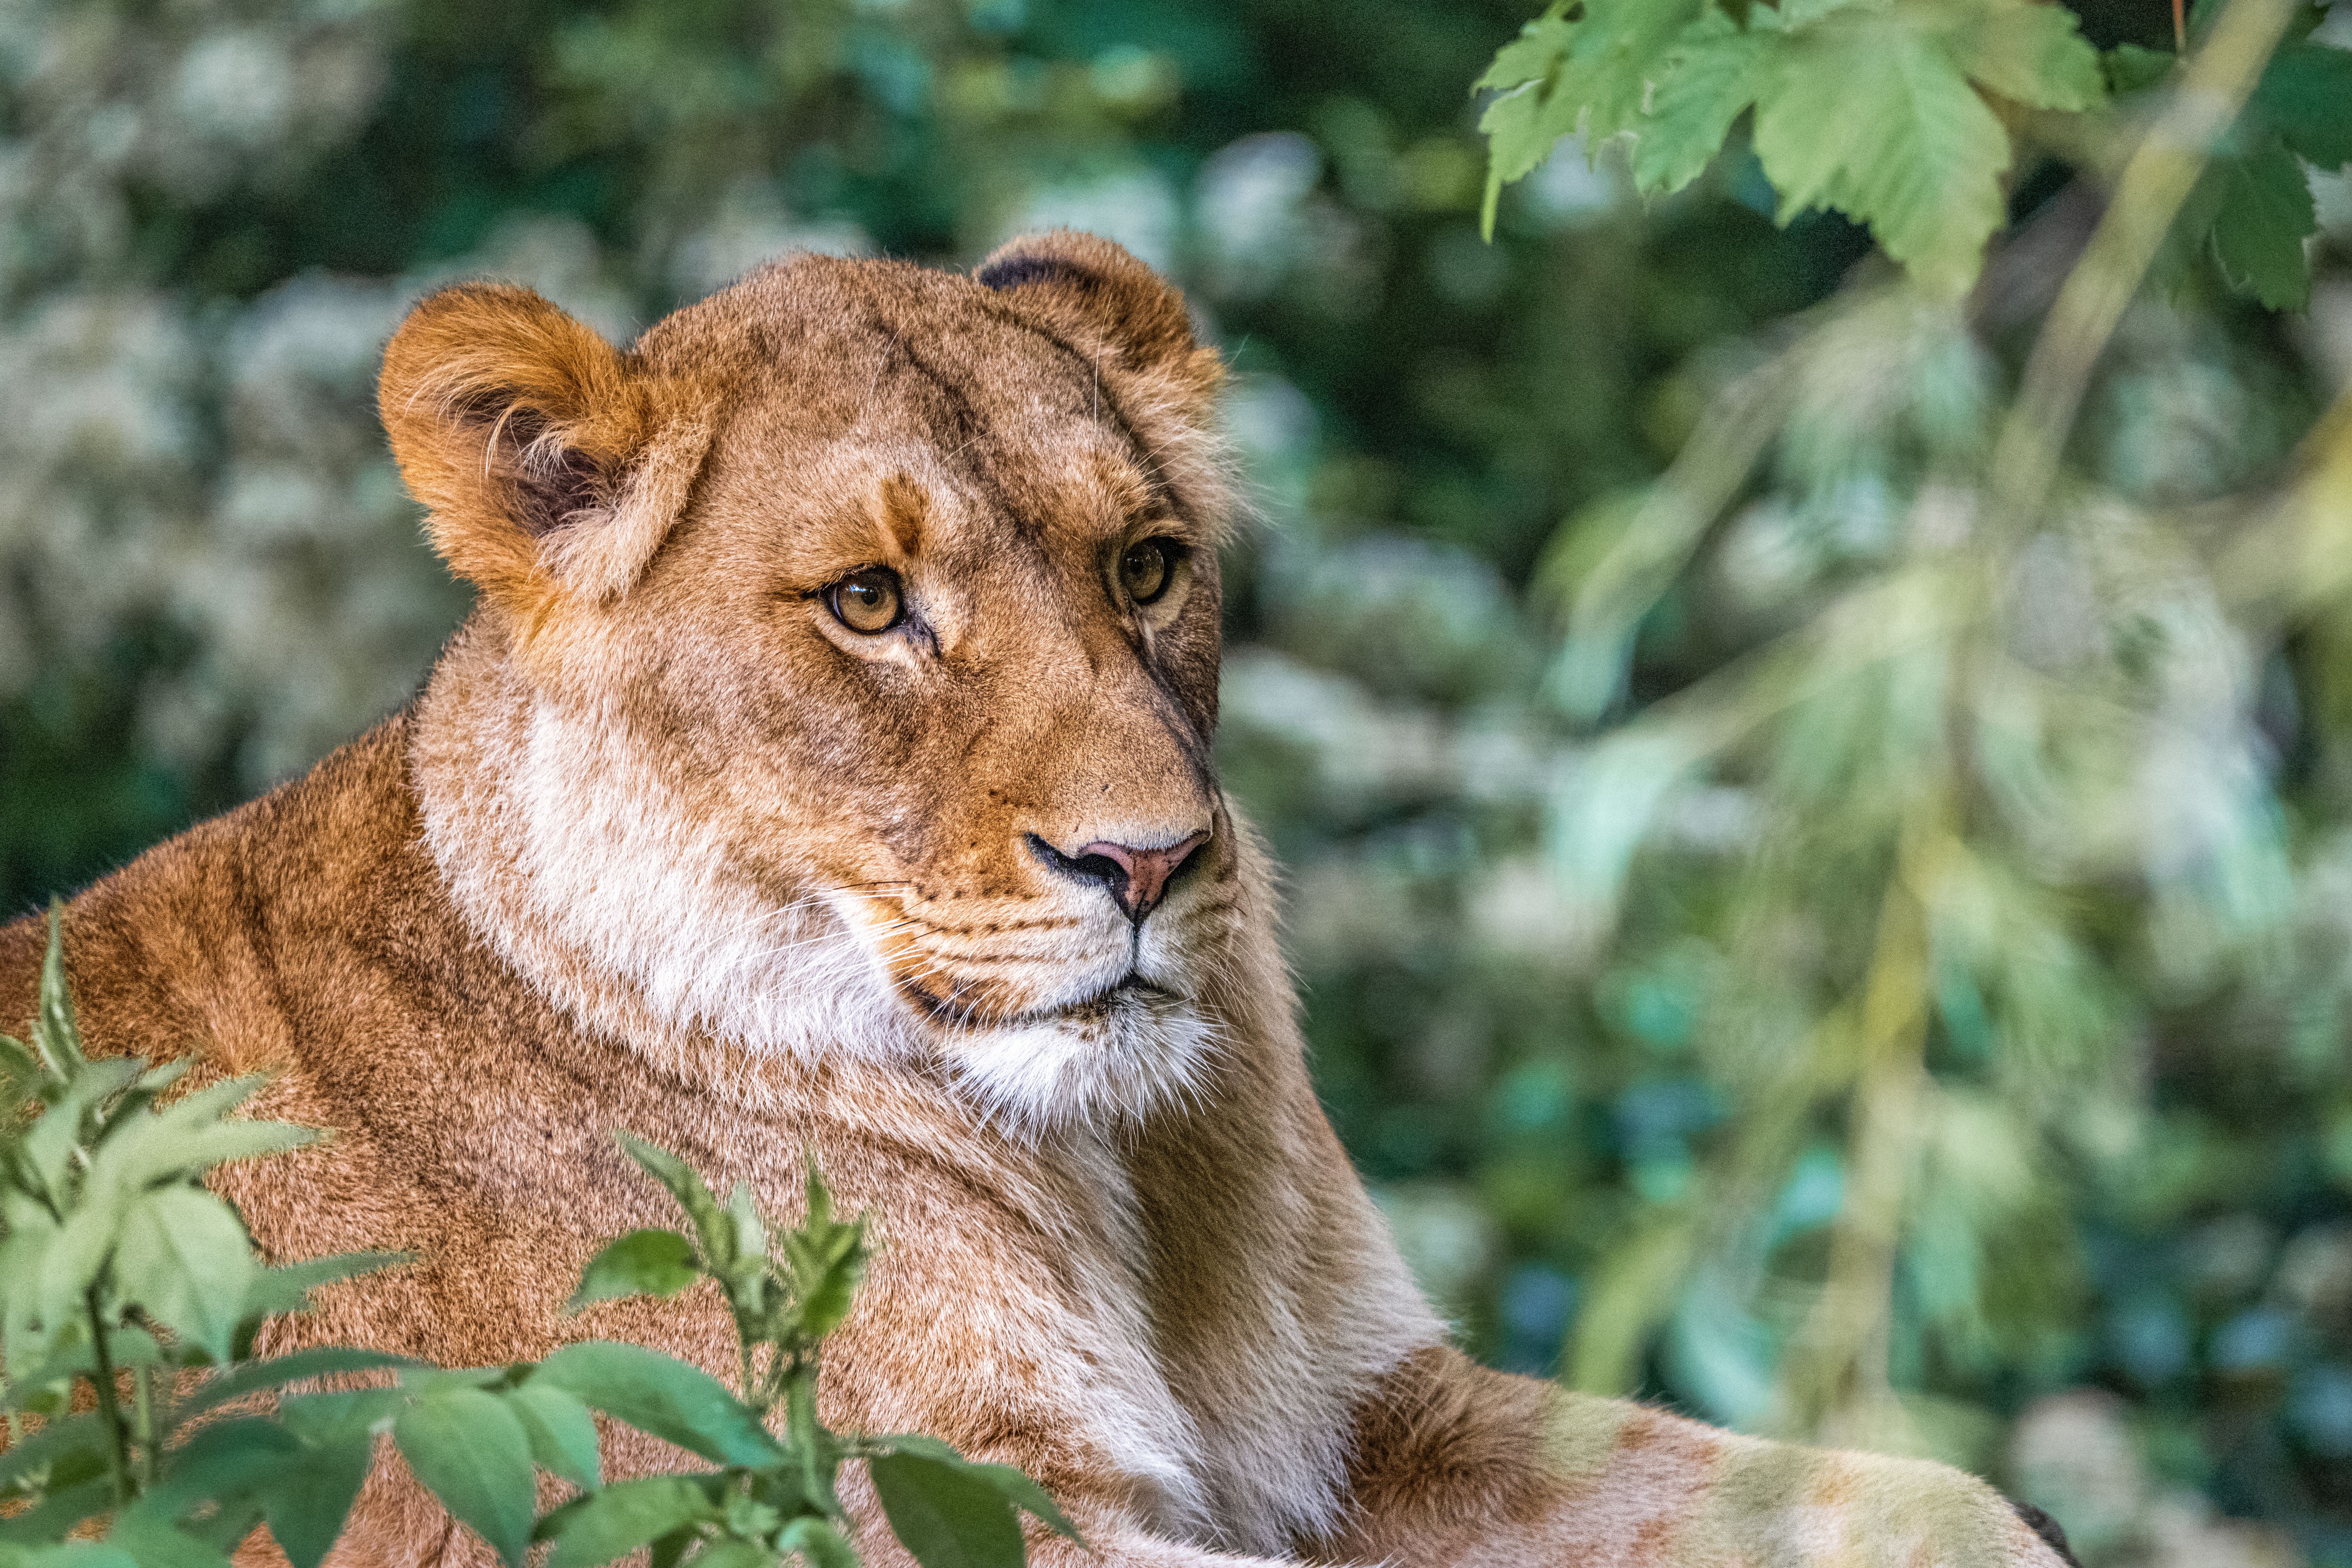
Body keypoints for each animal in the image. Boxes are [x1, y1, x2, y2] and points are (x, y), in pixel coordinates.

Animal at [1, 232, 2075, 1568]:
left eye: (1146, 566)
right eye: (867, 604)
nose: (1148, 861)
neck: (1125, 1179)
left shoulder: (1366, 1417)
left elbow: (1910, 1500)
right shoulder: (846, 1499)